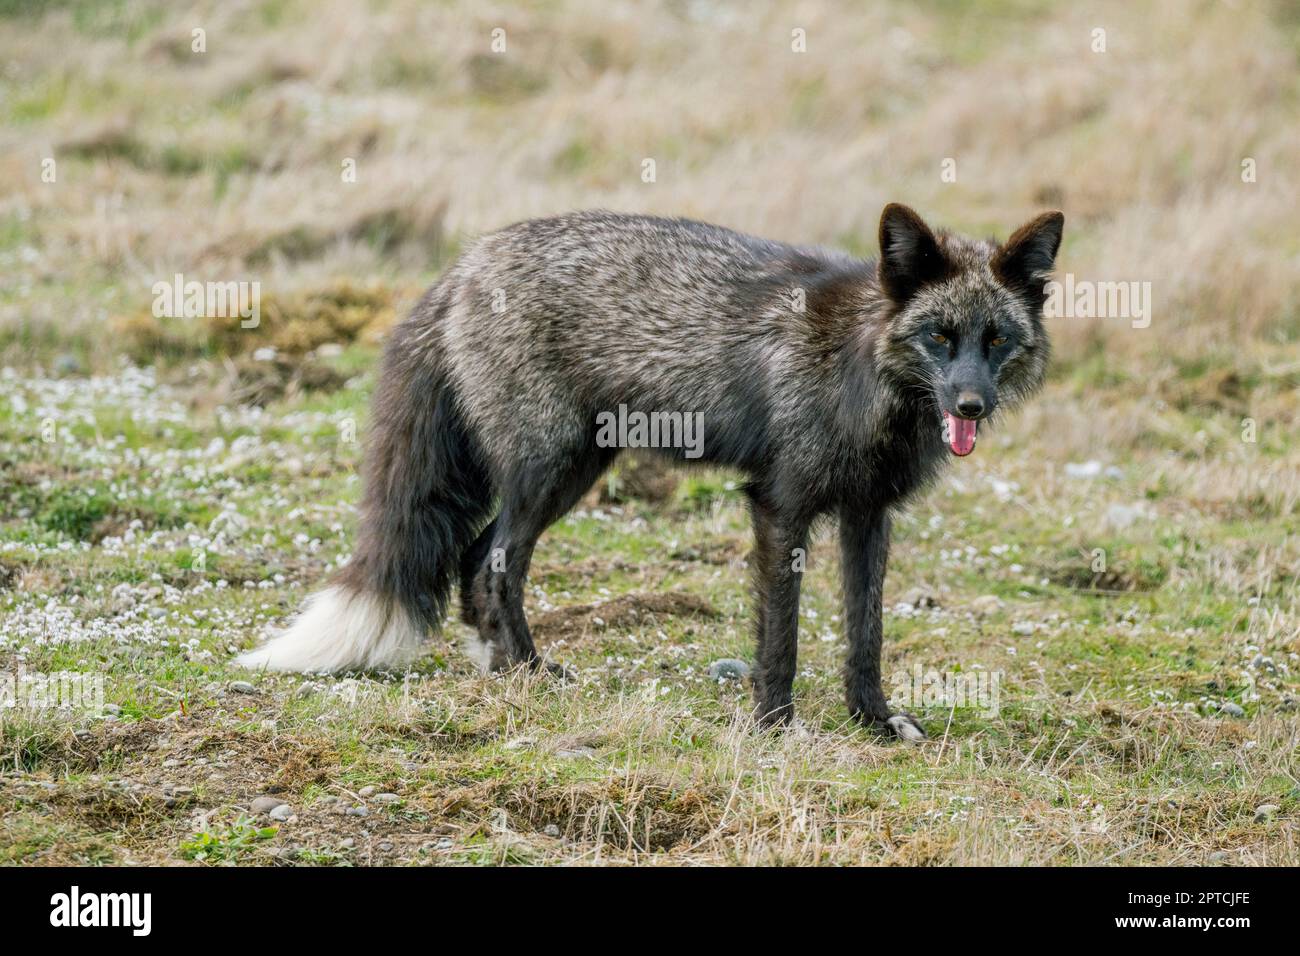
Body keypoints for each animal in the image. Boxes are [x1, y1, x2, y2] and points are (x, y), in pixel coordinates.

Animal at [236, 203, 1064, 739]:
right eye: (939, 336)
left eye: (995, 339)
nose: (972, 404)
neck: (861, 375)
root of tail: (467, 262)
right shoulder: (779, 504)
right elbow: (782, 637)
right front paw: (774, 726)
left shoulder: (868, 515)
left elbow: (866, 633)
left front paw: (875, 721)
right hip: (550, 469)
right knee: (495, 564)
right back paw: (529, 672)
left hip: (571, 471)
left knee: (475, 561)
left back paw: (506, 670)